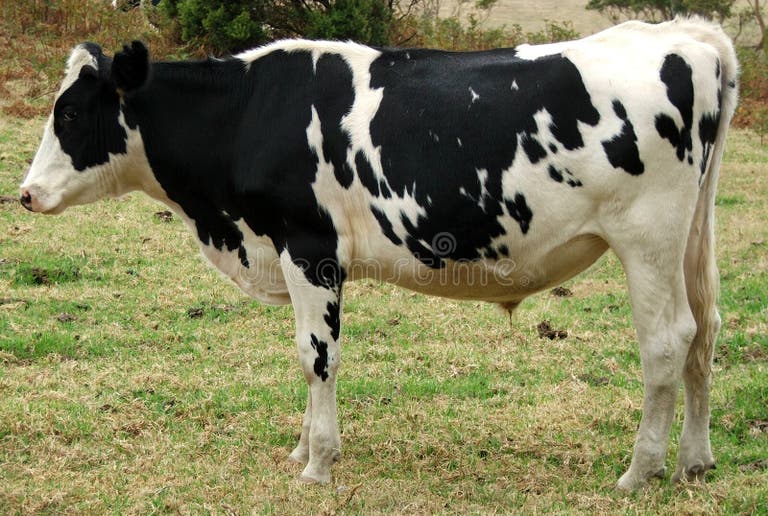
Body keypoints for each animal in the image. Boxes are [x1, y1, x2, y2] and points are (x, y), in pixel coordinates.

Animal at [19, 18, 738, 490]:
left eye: (72, 114)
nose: (25, 193)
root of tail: (687, 36)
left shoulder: (309, 246)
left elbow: (317, 357)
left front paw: (317, 464)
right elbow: (307, 355)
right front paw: (301, 449)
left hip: (647, 236)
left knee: (668, 341)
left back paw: (639, 471)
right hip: (690, 237)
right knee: (705, 330)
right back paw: (694, 461)